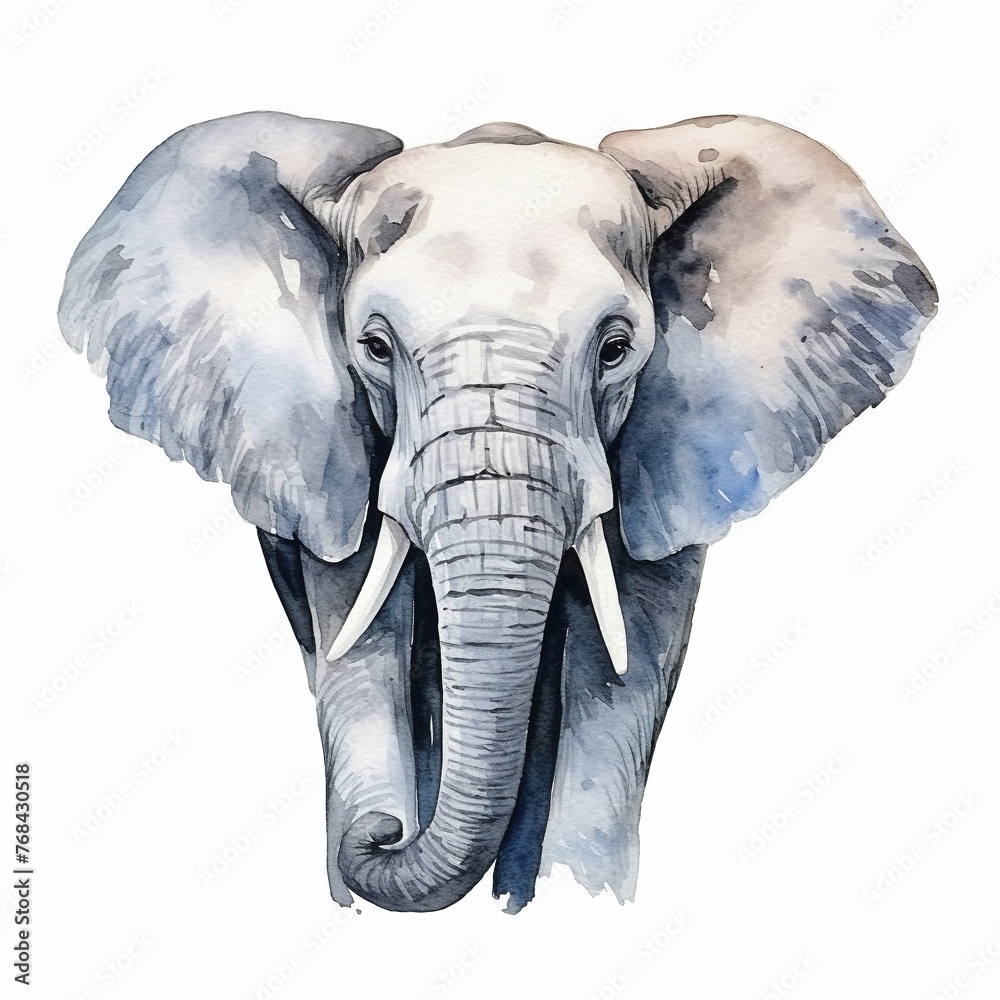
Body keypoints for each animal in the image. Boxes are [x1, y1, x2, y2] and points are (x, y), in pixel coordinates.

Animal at [58, 112, 936, 913]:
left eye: (615, 349)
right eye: (374, 347)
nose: (381, 835)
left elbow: (622, 667)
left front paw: (581, 902)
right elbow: (361, 637)